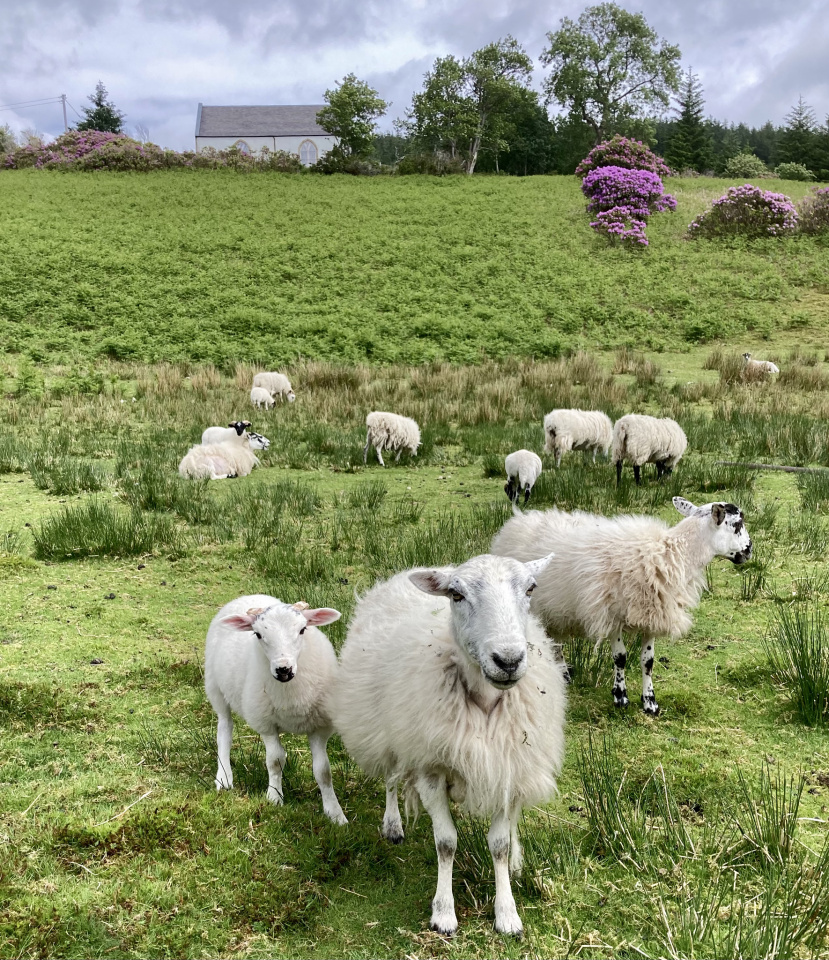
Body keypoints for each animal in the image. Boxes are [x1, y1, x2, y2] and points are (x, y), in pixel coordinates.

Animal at [205, 595, 347, 824]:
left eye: (303, 630)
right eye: (258, 634)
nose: (283, 669)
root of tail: (248, 595)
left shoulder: (319, 727)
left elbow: (323, 771)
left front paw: (334, 813)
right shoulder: (265, 723)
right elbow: (275, 761)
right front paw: (274, 796)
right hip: (215, 687)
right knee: (224, 730)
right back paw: (224, 777)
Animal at [334, 553, 567, 936]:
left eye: (531, 588)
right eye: (456, 594)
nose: (508, 661)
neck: (485, 701)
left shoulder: (507, 765)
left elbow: (500, 846)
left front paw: (507, 912)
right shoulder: (430, 768)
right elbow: (446, 843)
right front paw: (443, 912)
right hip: (387, 727)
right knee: (391, 777)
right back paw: (392, 824)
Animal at [490, 497, 752, 716]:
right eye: (737, 524)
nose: (749, 550)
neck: (672, 554)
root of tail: (516, 520)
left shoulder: (652, 615)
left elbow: (648, 661)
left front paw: (650, 702)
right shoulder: (611, 613)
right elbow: (620, 657)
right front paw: (620, 697)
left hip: (553, 607)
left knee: (554, 643)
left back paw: (563, 674)